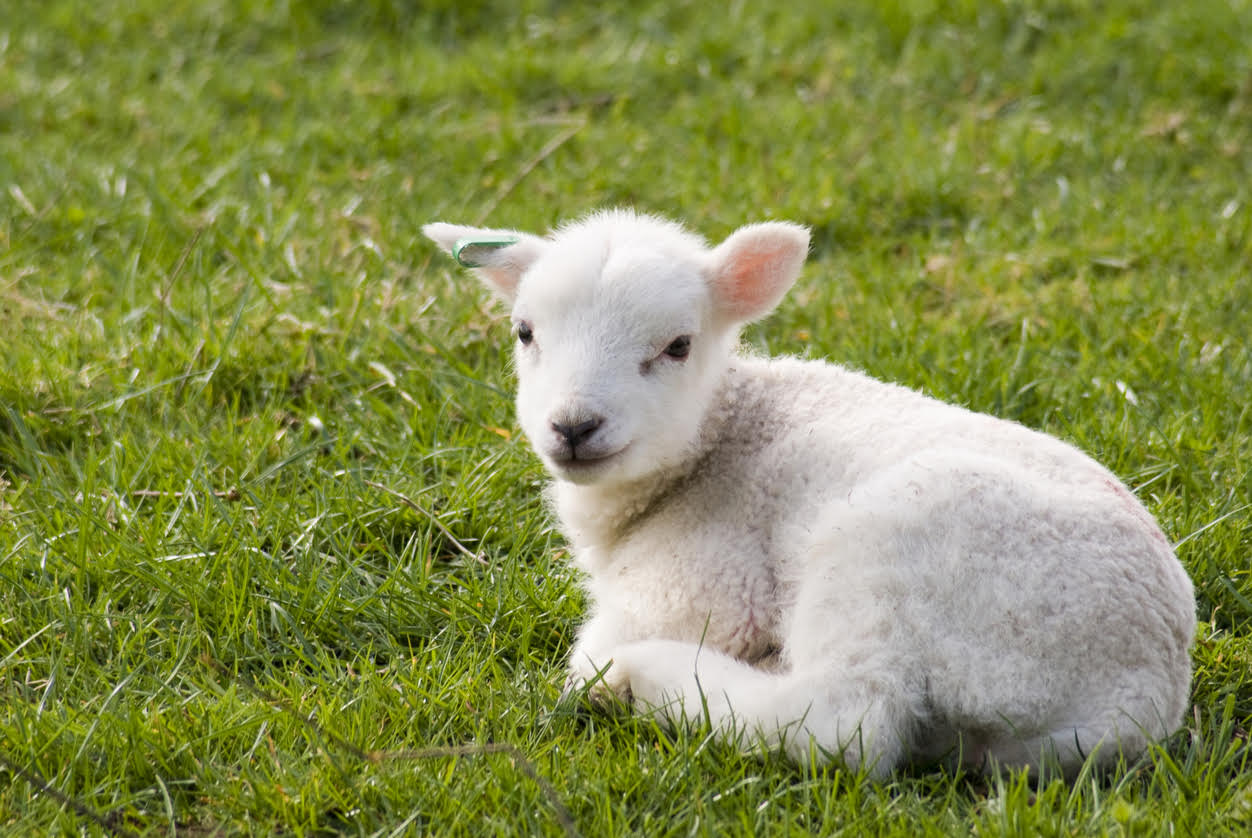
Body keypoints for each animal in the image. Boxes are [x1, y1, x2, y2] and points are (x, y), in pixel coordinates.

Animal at [423, 209, 1195, 778]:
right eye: (524, 333)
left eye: (678, 346)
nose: (575, 427)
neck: (721, 438)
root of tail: (1136, 698)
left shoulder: (703, 586)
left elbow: (593, 650)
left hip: (896, 552)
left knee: (844, 723)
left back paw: (649, 678)